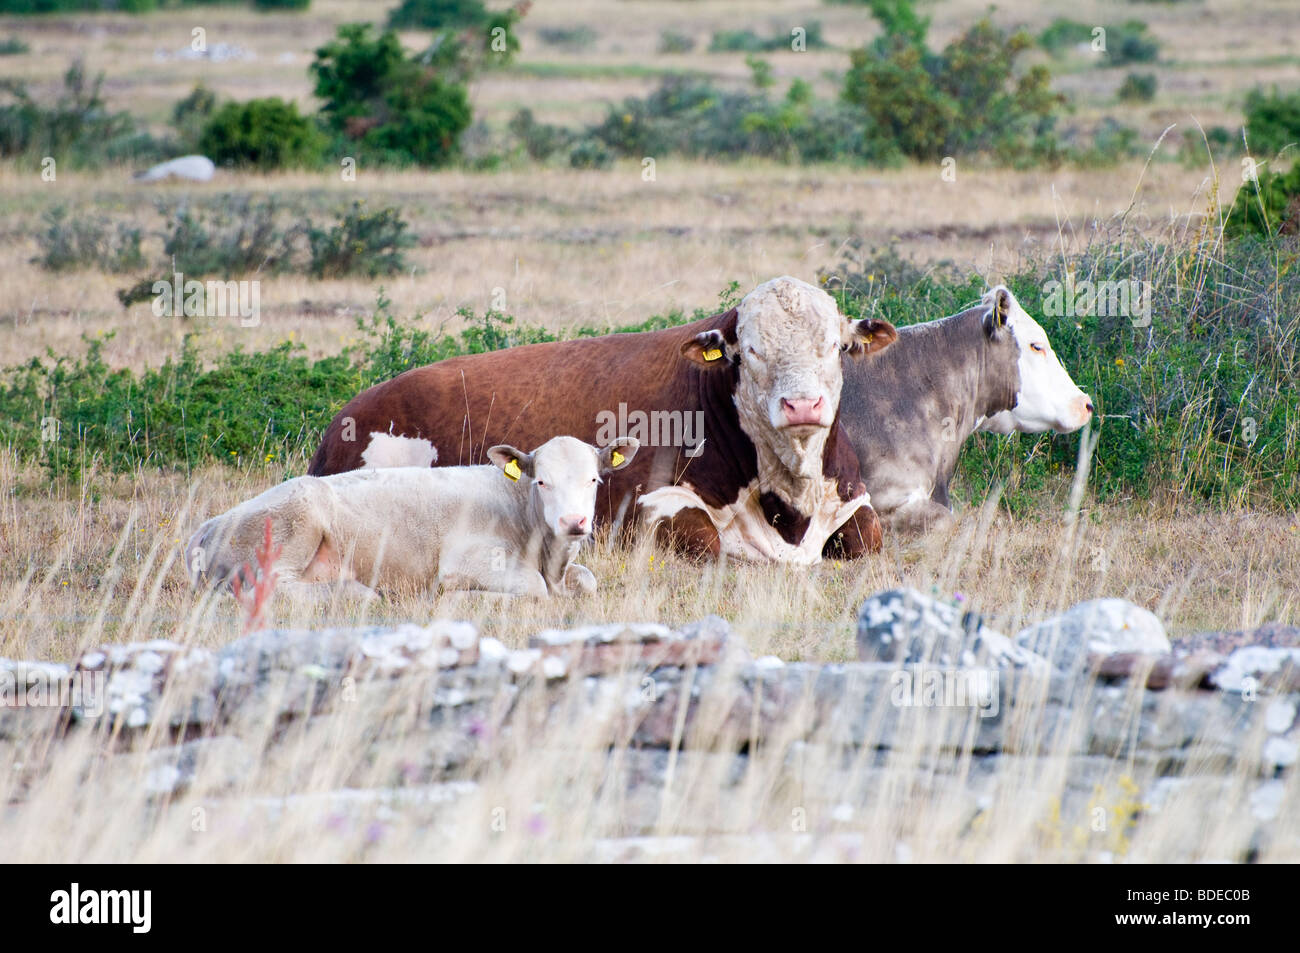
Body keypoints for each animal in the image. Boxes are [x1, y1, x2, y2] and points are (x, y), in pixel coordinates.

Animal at [187, 435, 639, 600]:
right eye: (542, 481)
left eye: (594, 479)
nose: (574, 522)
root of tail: (209, 525)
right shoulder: (468, 562)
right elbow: (534, 589)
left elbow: (588, 579)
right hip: (295, 524)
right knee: (270, 586)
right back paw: (357, 592)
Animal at [308, 276, 899, 564]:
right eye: (750, 350)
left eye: (833, 347)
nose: (802, 405)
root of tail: (350, 411)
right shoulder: (642, 508)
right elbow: (711, 542)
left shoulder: (854, 502)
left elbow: (869, 537)